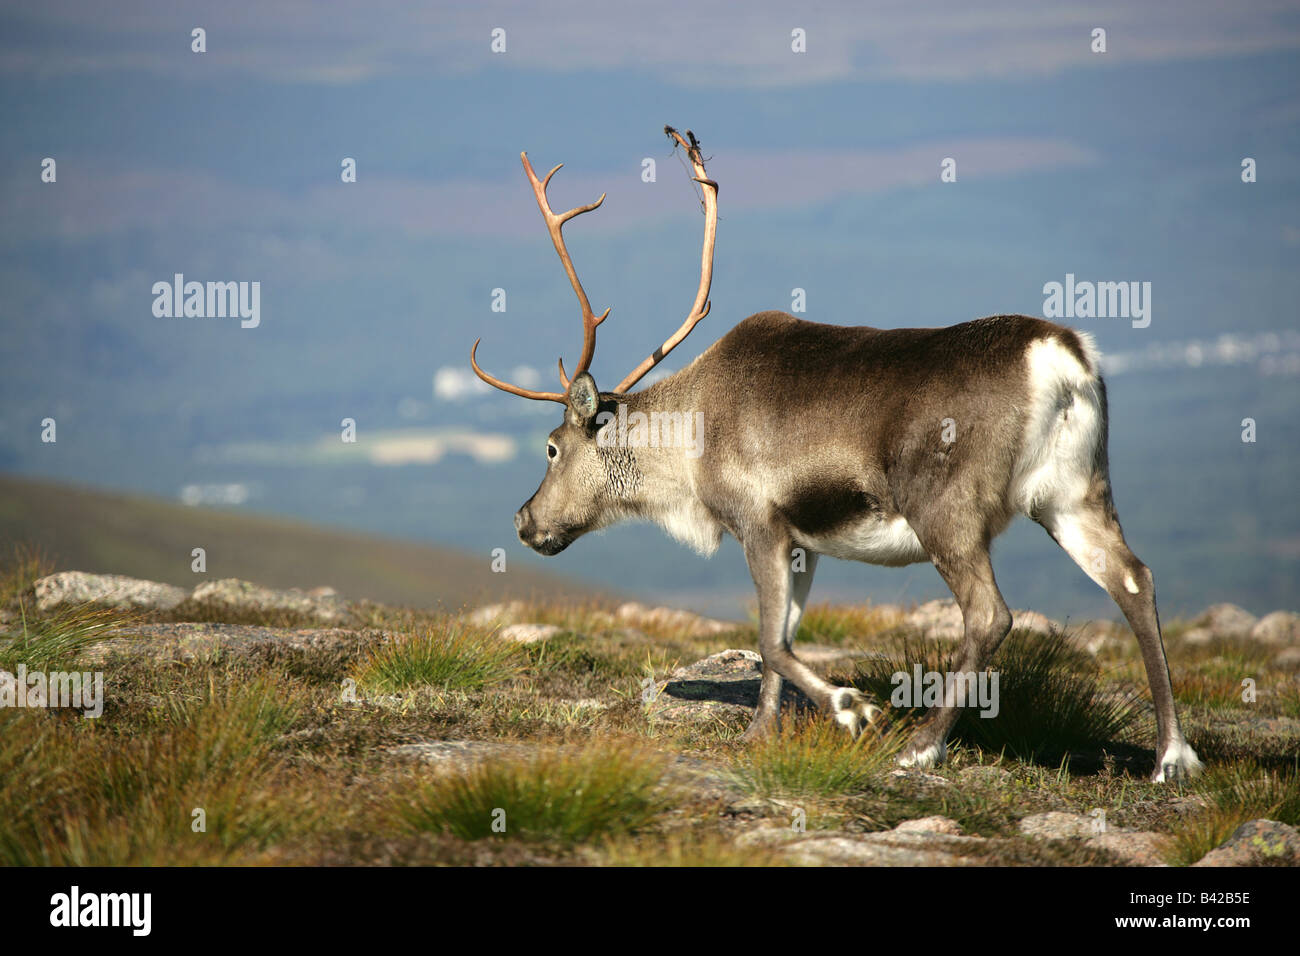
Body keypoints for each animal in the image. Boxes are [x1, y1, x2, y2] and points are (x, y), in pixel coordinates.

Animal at [470, 126, 1202, 783]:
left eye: (552, 446)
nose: (524, 521)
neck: (687, 446)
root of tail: (1061, 357)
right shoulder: (805, 542)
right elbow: (781, 640)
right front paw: (760, 734)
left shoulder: (760, 521)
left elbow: (770, 640)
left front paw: (851, 707)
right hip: (1073, 494)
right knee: (1134, 579)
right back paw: (1172, 757)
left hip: (947, 508)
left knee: (991, 613)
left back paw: (921, 747)